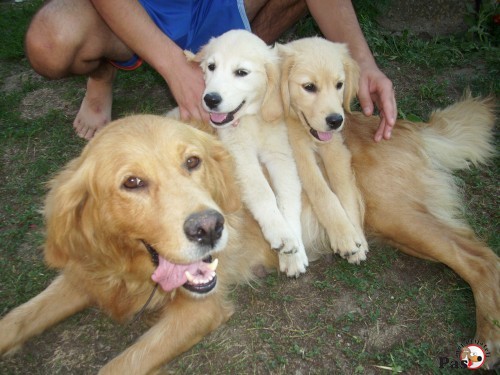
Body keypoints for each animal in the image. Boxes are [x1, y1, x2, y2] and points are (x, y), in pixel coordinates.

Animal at [0, 116, 276, 374]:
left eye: (192, 162)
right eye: (132, 182)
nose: (209, 228)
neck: (129, 271)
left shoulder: (201, 310)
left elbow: (117, 367)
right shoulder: (83, 274)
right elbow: (16, 319)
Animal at [191, 30, 308, 280]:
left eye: (241, 73)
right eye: (211, 67)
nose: (210, 99)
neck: (251, 119)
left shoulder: (280, 154)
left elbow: (288, 196)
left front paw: (294, 252)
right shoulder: (240, 158)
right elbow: (263, 192)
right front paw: (280, 232)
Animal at [280, 36, 370, 262]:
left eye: (339, 85)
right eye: (309, 86)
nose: (336, 121)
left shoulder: (335, 148)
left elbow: (345, 190)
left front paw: (356, 237)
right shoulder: (298, 153)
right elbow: (323, 192)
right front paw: (344, 236)